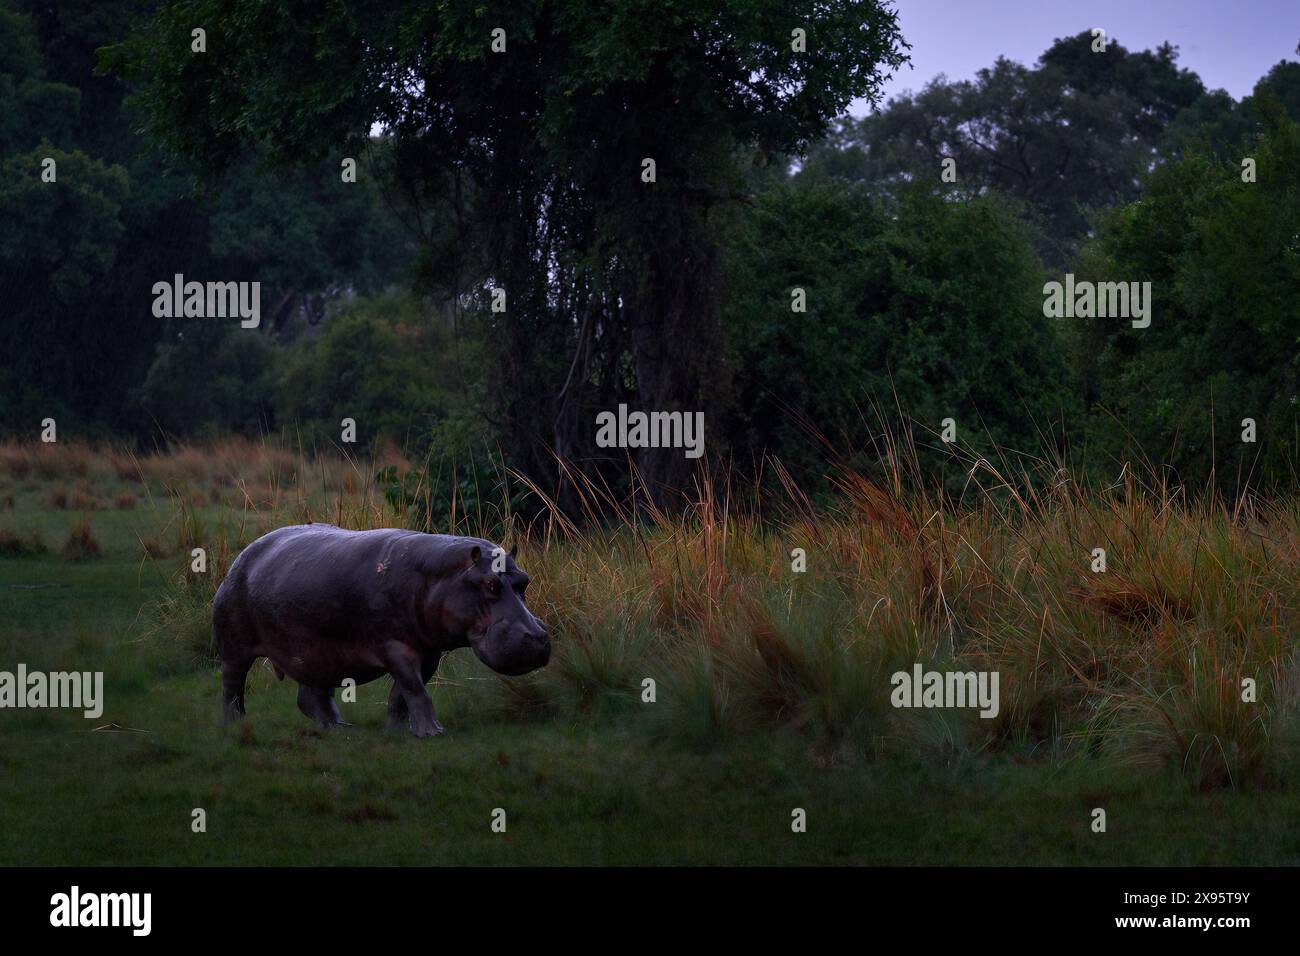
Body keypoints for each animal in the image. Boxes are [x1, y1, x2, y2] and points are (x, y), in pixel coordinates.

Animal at [211, 524, 550, 736]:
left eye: (525, 580)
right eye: (490, 584)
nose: (538, 637)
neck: (439, 575)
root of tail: (243, 554)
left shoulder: (429, 651)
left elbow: (402, 693)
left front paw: (397, 731)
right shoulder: (394, 646)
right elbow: (415, 689)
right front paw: (433, 733)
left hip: (315, 653)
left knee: (311, 696)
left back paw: (340, 727)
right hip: (235, 646)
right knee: (231, 686)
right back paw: (234, 725)